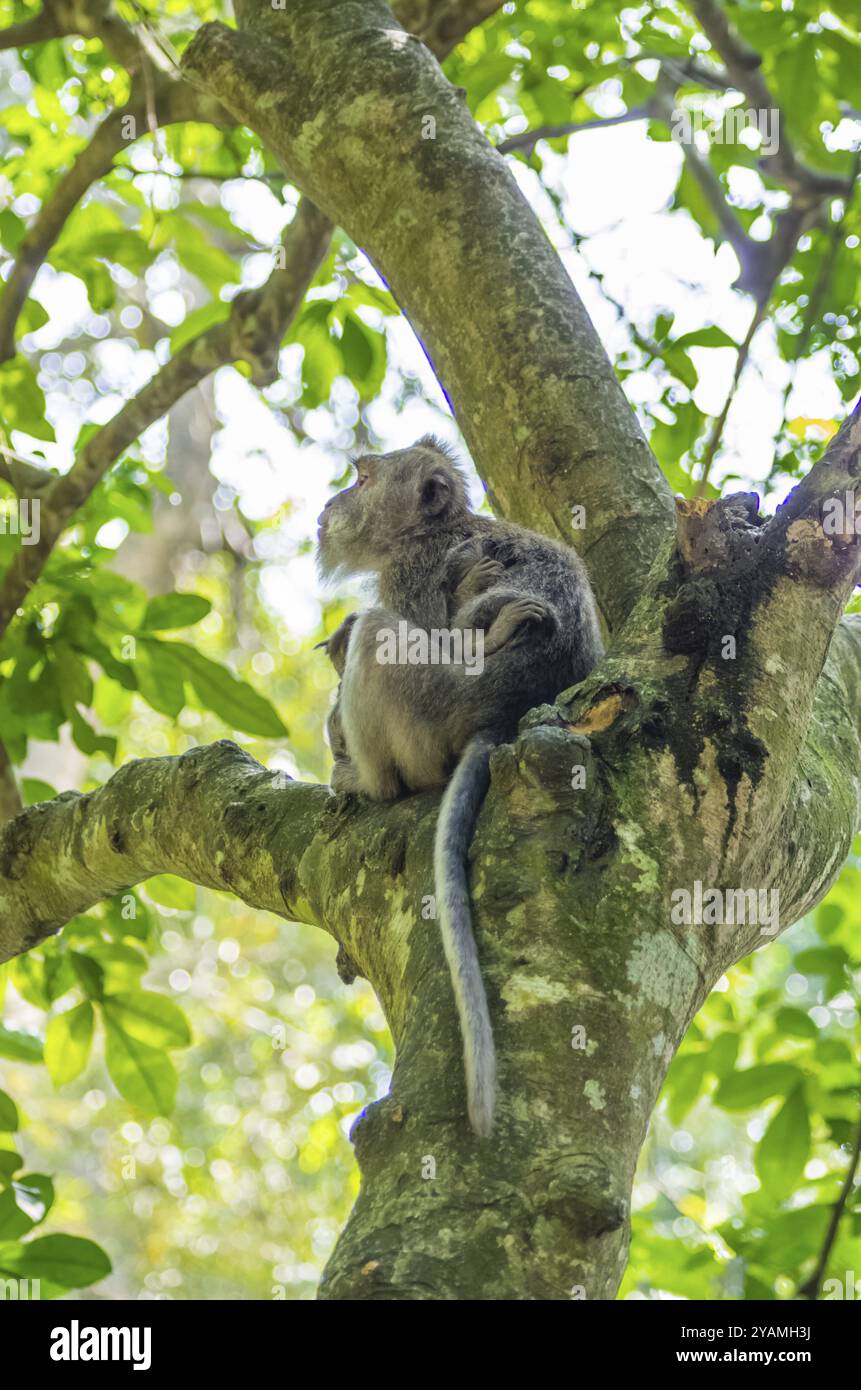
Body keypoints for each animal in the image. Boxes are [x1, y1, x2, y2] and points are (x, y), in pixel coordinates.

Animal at [316, 437, 603, 1136]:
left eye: (363, 477)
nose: (330, 502)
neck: (431, 531)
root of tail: (500, 715)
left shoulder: (413, 572)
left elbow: (408, 620)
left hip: (430, 705)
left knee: (380, 637)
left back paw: (371, 782)